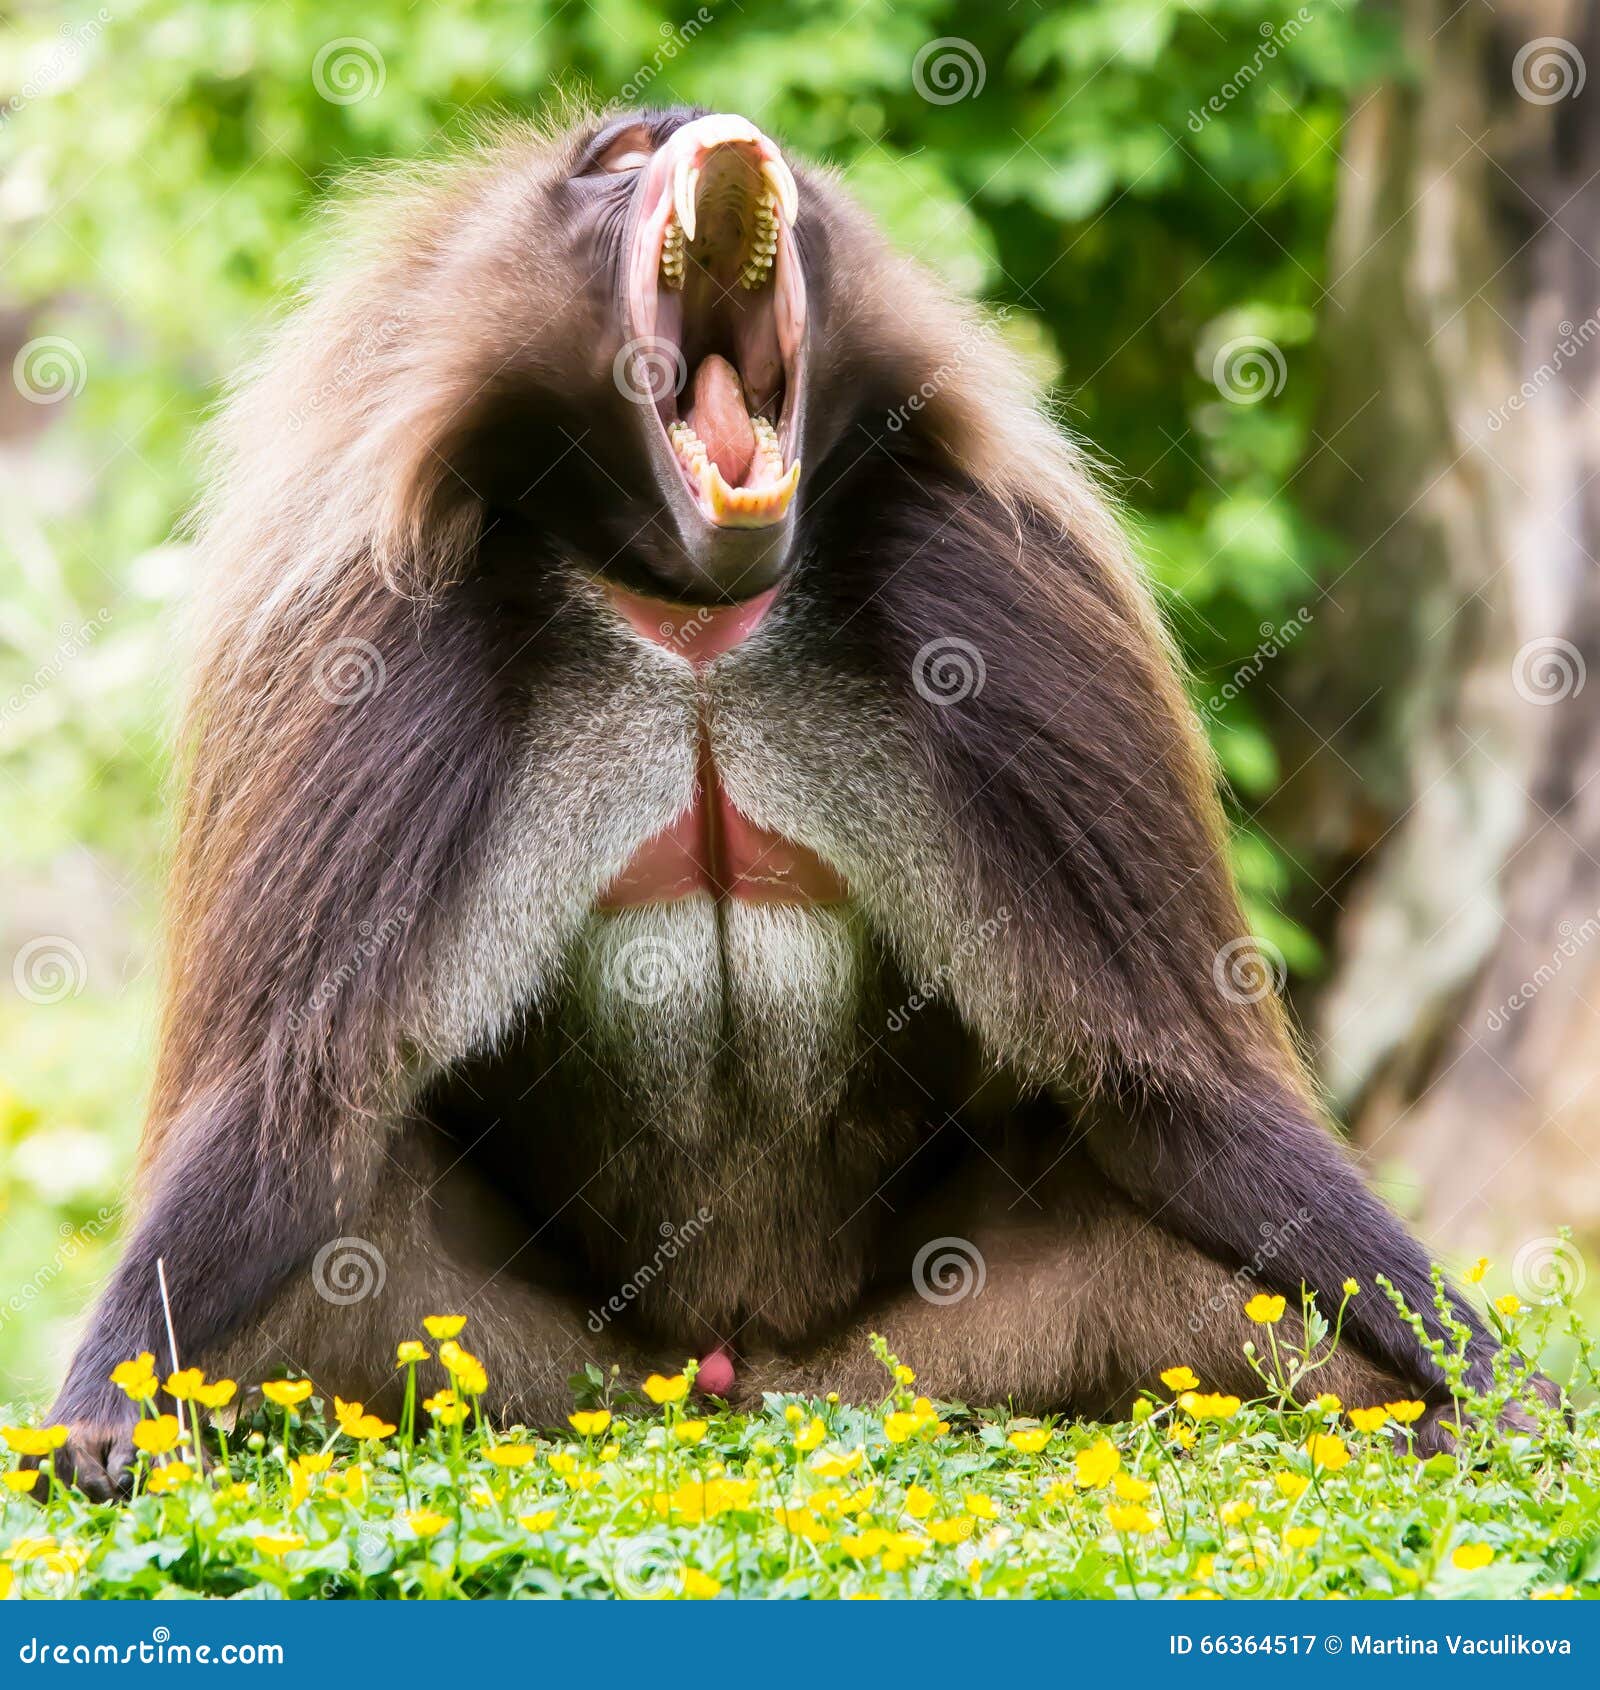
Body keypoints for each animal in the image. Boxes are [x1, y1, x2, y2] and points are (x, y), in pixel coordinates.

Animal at [43, 105, 1549, 1499]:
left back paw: (1421, 1414)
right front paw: (102, 1405)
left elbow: (1171, 1078)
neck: (692, 606)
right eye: (615, 156)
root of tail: (738, 1376)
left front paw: (1484, 1374)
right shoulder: (379, 643)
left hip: (937, 1357)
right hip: (542, 1372)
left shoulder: (989, 588)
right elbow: (296, 1093)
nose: (705, 129)